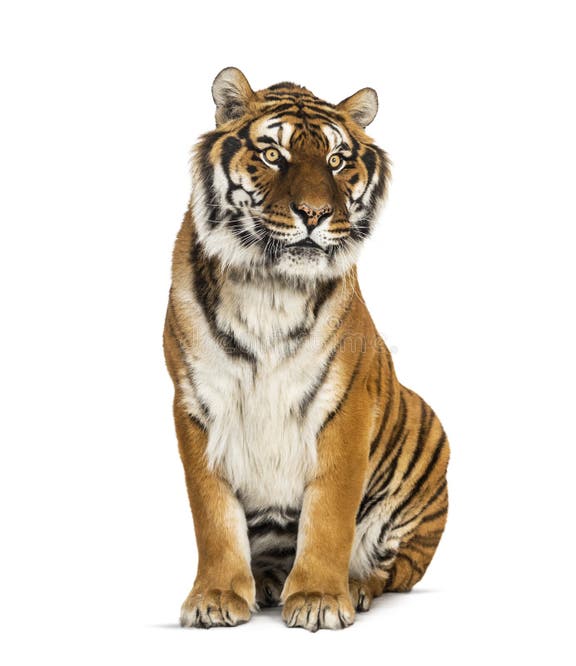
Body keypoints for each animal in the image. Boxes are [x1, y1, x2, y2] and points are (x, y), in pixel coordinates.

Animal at [163, 67, 450, 631]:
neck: (270, 287)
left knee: (394, 570)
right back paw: (269, 582)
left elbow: (330, 513)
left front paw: (318, 597)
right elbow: (212, 513)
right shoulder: (197, 401)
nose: (314, 214)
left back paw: (353, 586)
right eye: (274, 154)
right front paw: (215, 597)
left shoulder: (345, 404)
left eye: (336, 161)